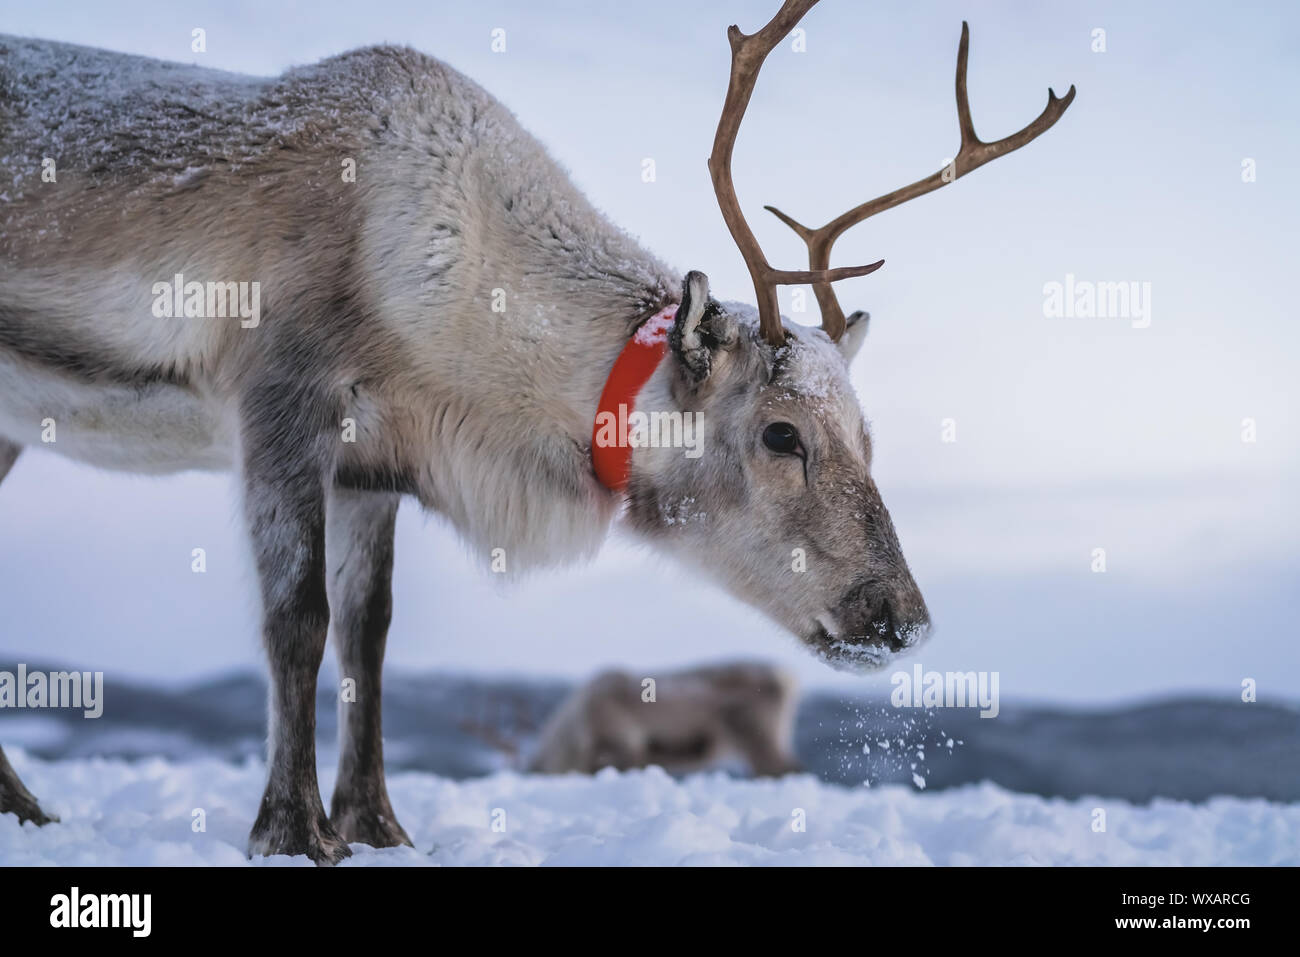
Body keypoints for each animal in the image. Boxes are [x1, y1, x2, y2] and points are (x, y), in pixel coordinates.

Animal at [0, 0, 1074, 863]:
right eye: (780, 435)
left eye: (866, 433)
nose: (905, 618)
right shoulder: (281, 401)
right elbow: (297, 619)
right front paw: (293, 831)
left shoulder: (371, 466)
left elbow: (368, 636)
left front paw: (379, 826)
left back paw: (30, 811)